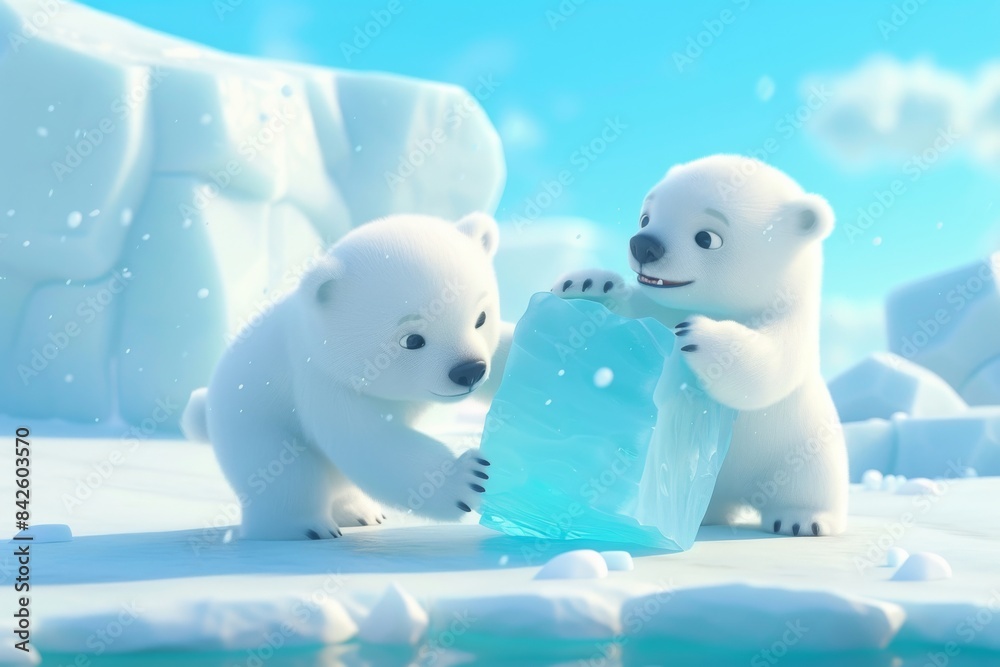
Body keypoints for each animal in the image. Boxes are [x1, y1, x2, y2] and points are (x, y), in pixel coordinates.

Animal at [182, 212, 512, 540]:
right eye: (412, 340)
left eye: (481, 318)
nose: (469, 371)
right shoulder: (321, 378)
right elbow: (366, 441)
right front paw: (469, 478)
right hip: (253, 424)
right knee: (285, 474)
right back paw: (304, 527)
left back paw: (358, 512)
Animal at [552, 154, 848, 537]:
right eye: (646, 218)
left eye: (706, 237)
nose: (643, 244)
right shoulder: (658, 306)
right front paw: (588, 284)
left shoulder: (791, 329)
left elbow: (768, 371)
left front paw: (698, 336)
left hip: (801, 449)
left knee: (810, 480)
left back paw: (802, 519)